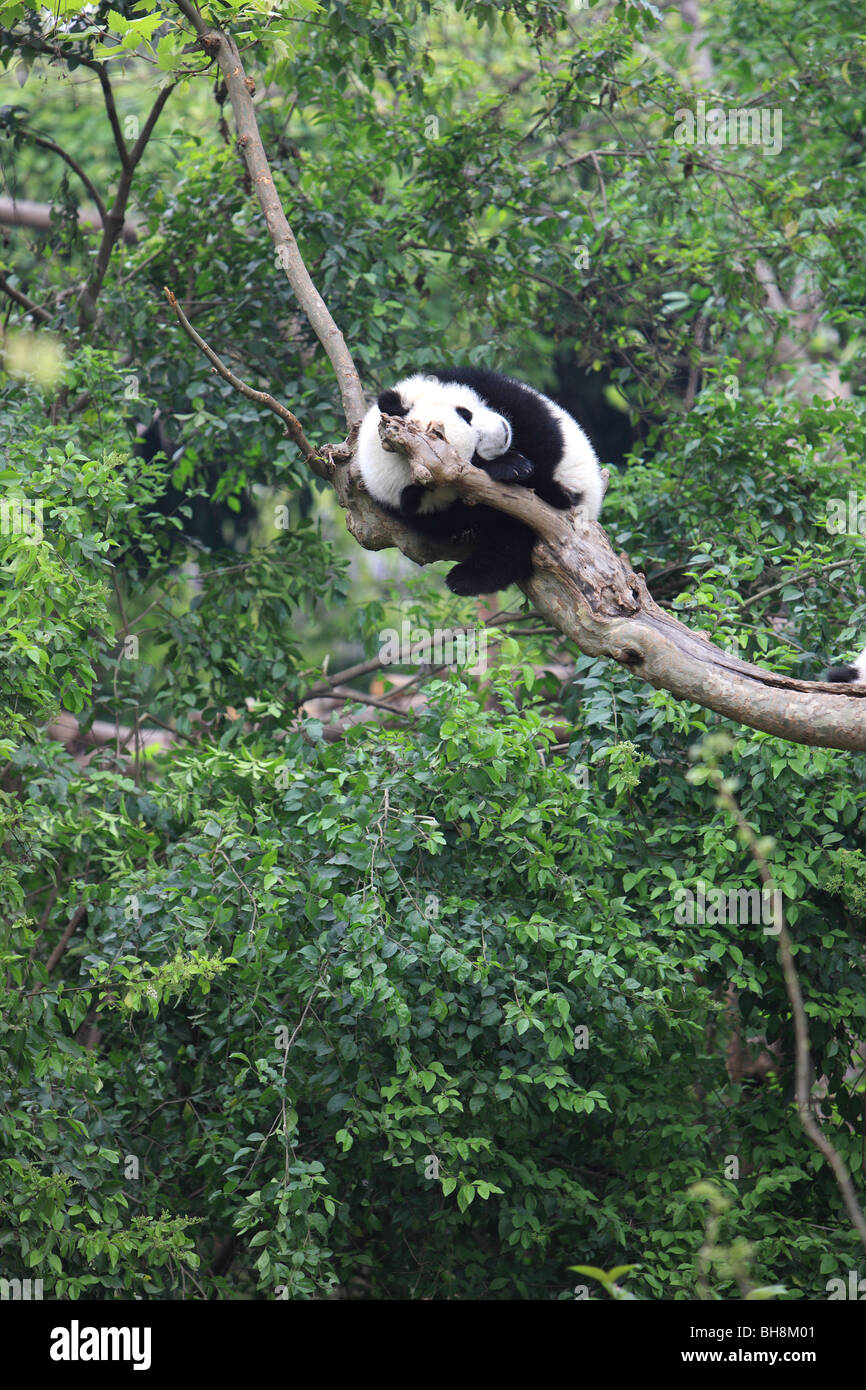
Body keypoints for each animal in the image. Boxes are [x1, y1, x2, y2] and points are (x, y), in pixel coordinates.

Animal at [356, 366, 603, 596]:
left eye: (465, 414)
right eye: (473, 460)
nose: (503, 433)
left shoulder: (486, 385)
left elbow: (538, 430)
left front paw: (518, 466)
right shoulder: (416, 512)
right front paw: (511, 467)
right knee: (511, 542)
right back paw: (467, 577)